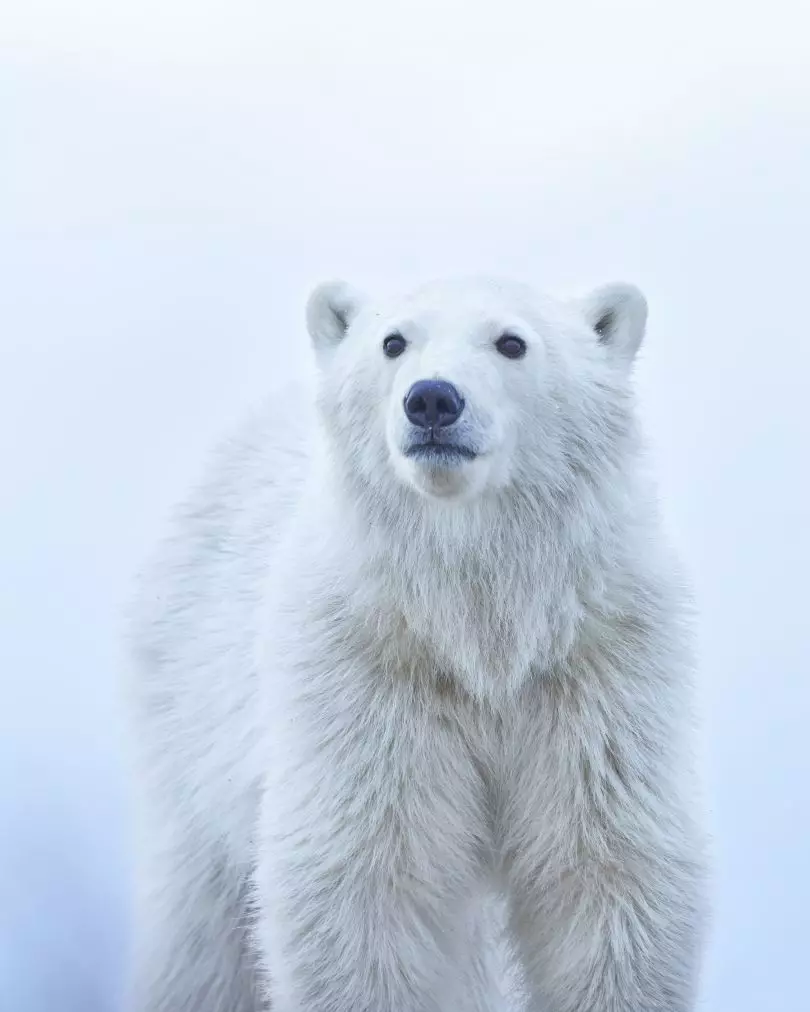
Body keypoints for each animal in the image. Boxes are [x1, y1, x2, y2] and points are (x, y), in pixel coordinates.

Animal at [128, 277, 708, 1011]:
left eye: (512, 342)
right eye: (393, 341)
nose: (432, 399)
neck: (480, 629)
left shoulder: (596, 668)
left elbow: (605, 873)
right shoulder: (368, 669)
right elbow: (365, 883)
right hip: (189, 726)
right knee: (202, 938)